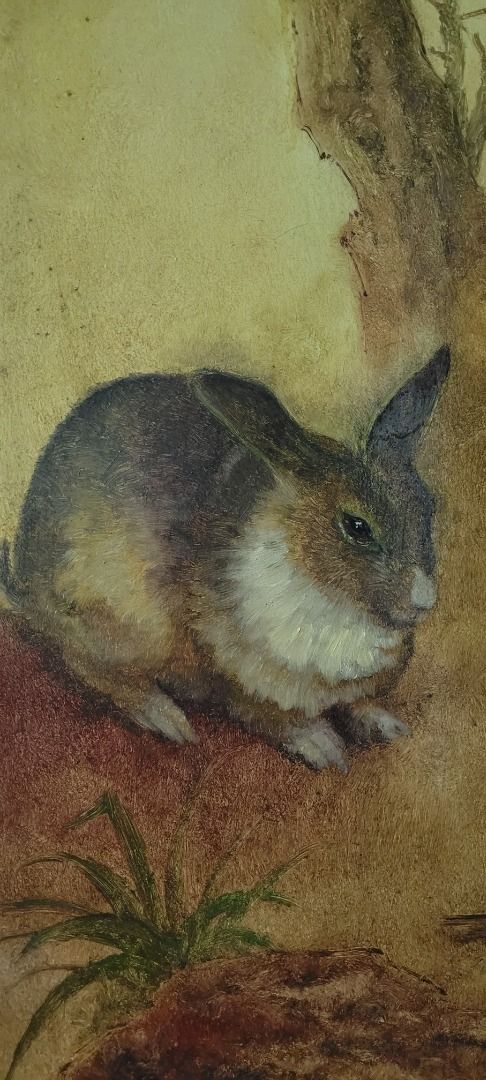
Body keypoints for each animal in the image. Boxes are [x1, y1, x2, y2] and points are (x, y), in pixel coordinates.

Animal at [0, 345, 450, 772]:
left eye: (428, 507)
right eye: (357, 526)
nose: (423, 600)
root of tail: (24, 583)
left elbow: (360, 704)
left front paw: (386, 726)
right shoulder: (239, 681)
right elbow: (274, 718)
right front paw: (322, 746)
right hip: (117, 621)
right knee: (93, 670)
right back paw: (167, 718)